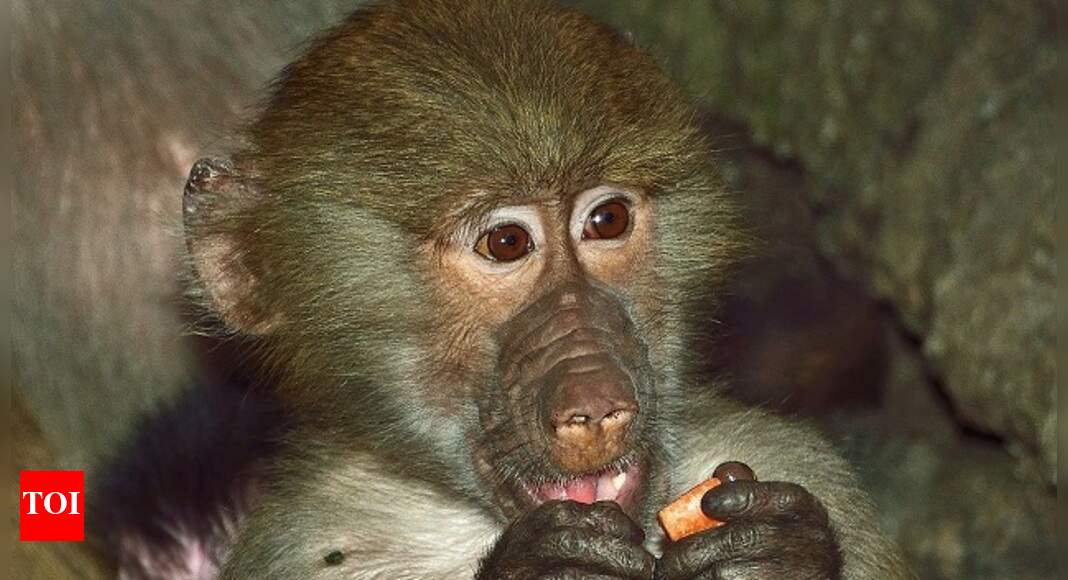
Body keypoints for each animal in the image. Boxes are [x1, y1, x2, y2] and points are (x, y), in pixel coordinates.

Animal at [107, 0, 914, 578]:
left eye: (606, 219)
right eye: (506, 243)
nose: (598, 401)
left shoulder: (791, 462)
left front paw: (775, 558)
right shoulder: (303, 543)